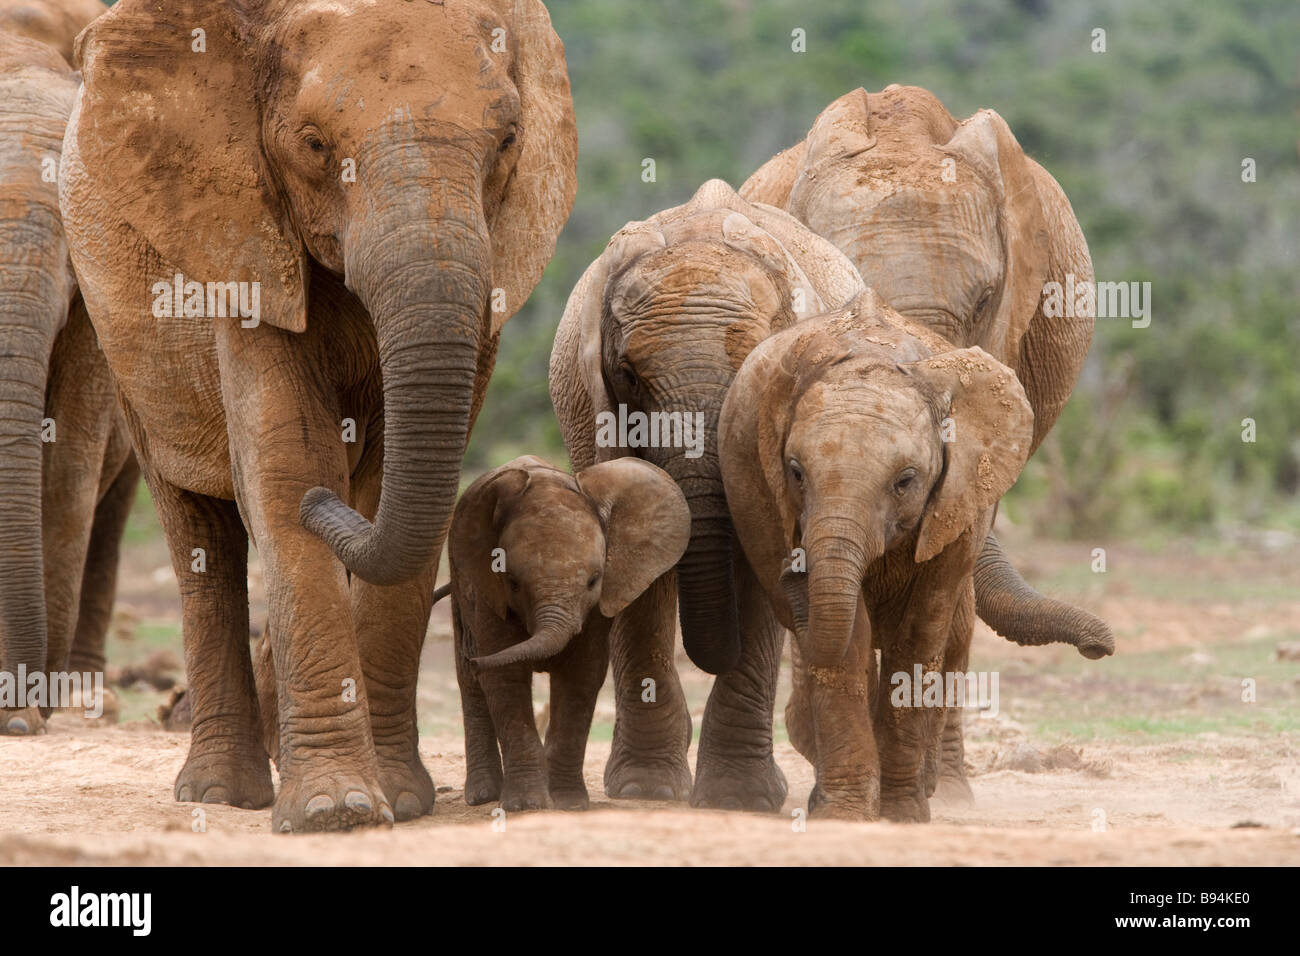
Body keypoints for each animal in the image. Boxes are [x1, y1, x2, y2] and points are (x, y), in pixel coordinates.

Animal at [59, 0, 577, 832]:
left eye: (507, 141)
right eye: (312, 144)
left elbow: (400, 481)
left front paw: (400, 798)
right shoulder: (240, 233)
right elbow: (287, 462)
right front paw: (338, 811)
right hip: (119, 334)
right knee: (197, 526)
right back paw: (220, 792)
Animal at [442, 455, 689, 812]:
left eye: (594, 581)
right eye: (512, 583)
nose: (476, 658)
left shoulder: (598, 605)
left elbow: (580, 675)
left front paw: (568, 804)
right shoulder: (486, 589)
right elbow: (506, 678)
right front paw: (527, 805)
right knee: (470, 684)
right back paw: (482, 795)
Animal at [719, 289, 1036, 821]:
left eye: (905, 480)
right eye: (795, 472)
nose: (792, 568)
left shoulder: (960, 504)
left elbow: (920, 634)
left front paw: (902, 814)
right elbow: (849, 641)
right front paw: (846, 815)